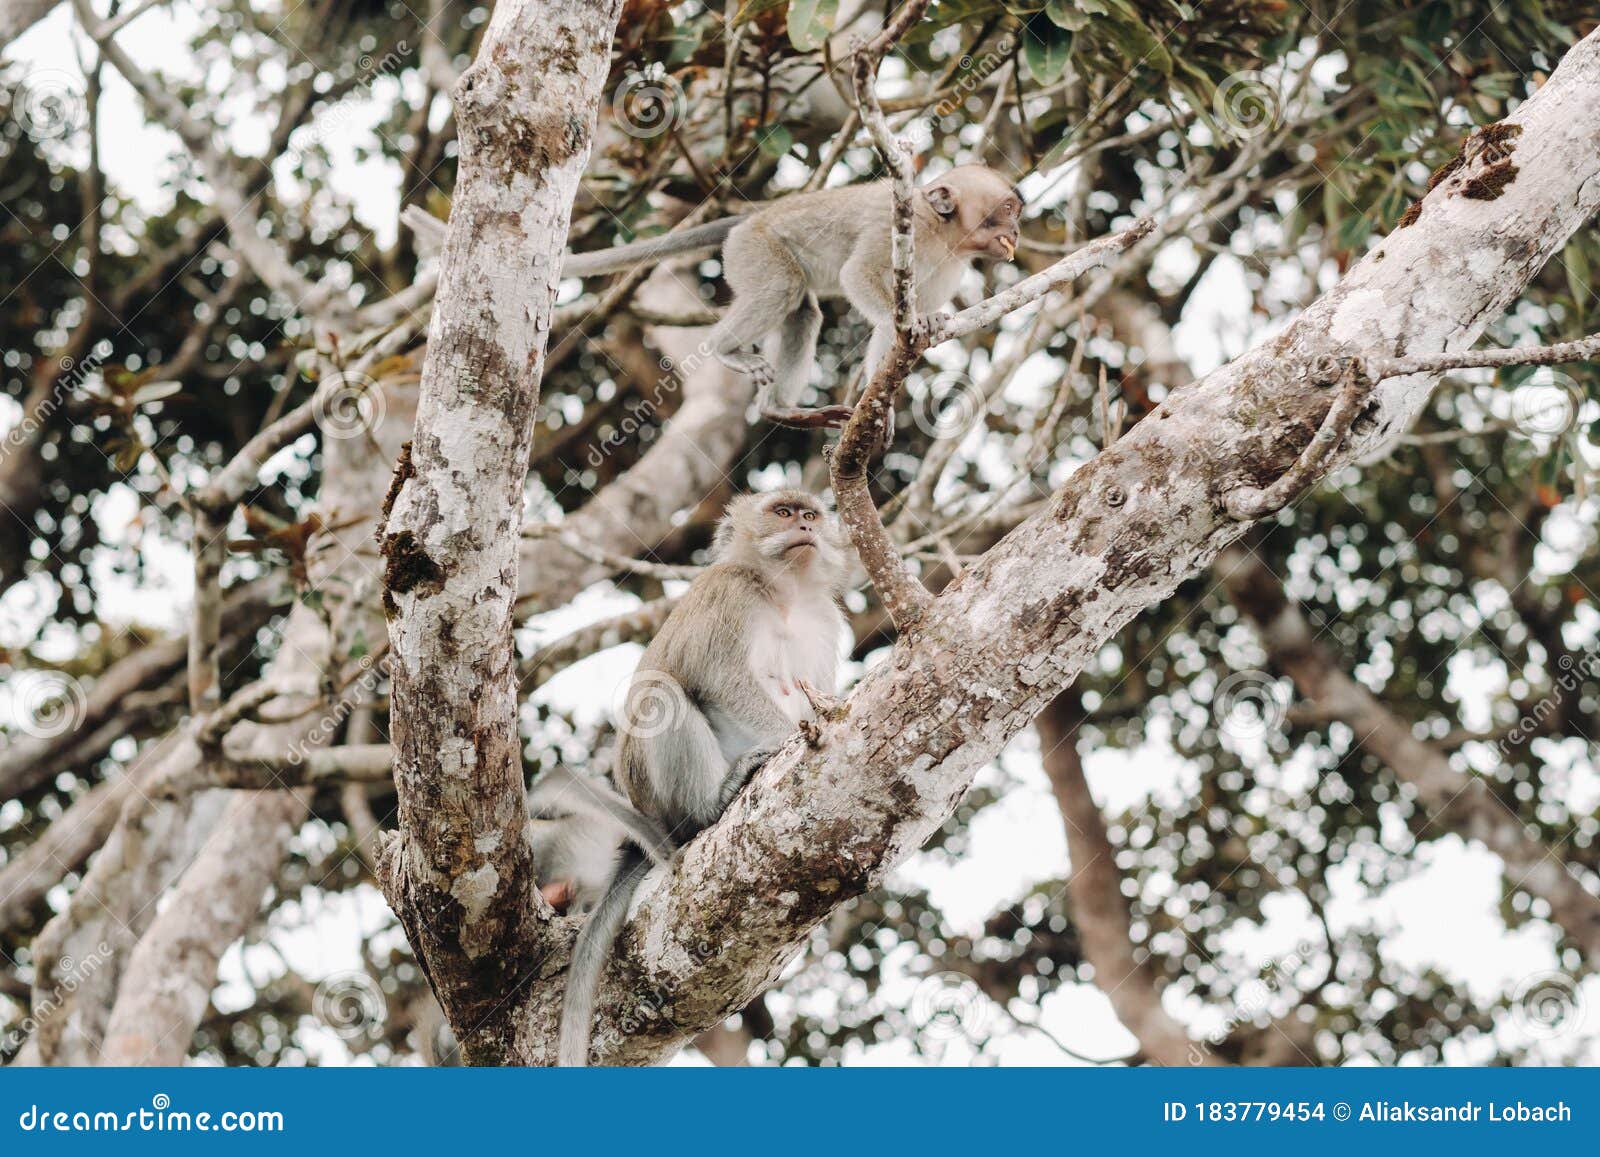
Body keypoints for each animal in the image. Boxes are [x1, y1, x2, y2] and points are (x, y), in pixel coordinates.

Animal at [558, 489, 851, 1066]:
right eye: (783, 513)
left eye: (811, 515)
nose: (806, 526)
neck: (783, 597)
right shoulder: (730, 597)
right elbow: (723, 680)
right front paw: (789, 739)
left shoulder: (822, 620)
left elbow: (815, 692)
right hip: (659, 799)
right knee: (663, 696)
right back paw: (713, 805)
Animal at [561, 167, 1023, 432]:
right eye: (1008, 209)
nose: (1017, 231)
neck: (943, 233)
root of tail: (751, 219)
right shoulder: (898, 227)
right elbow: (859, 278)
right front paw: (918, 326)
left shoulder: (950, 266)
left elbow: (893, 328)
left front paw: (883, 405)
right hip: (754, 249)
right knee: (783, 285)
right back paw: (724, 348)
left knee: (803, 312)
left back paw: (778, 410)